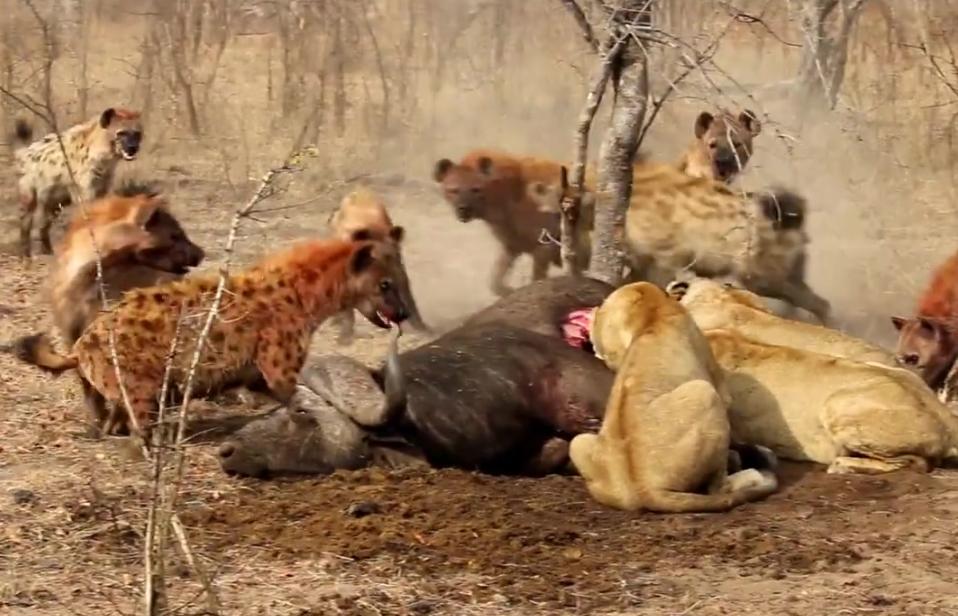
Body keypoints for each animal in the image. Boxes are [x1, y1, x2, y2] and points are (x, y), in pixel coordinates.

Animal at [568, 282, 778, 513]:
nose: (592, 313)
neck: (651, 314)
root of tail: (645, 490)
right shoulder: (720, 387)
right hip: (704, 392)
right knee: (717, 488)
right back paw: (751, 472)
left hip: (578, 442)